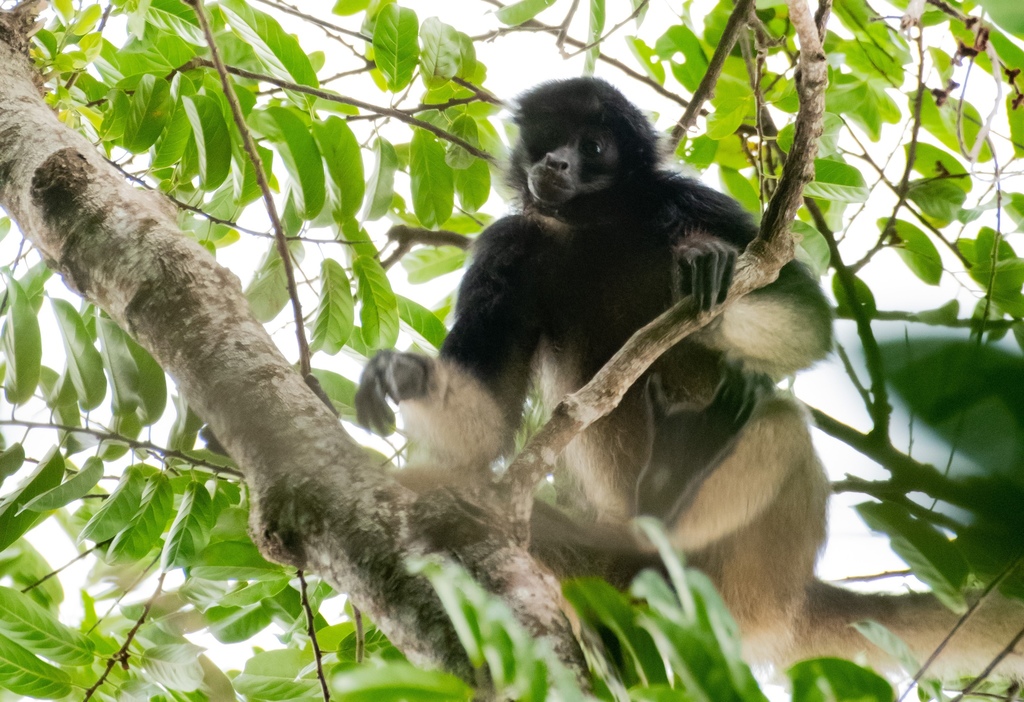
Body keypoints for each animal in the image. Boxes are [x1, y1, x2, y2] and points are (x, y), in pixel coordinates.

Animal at [355, 77, 1024, 679]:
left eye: (593, 145)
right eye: (549, 134)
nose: (555, 161)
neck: (600, 229)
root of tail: (792, 600)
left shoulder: (686, 203)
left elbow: (806, 311)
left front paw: (708, 272)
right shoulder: (510, 242)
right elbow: (482, 435)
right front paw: (407, 375)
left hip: (748, 580)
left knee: (781, 420)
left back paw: (669, 496)